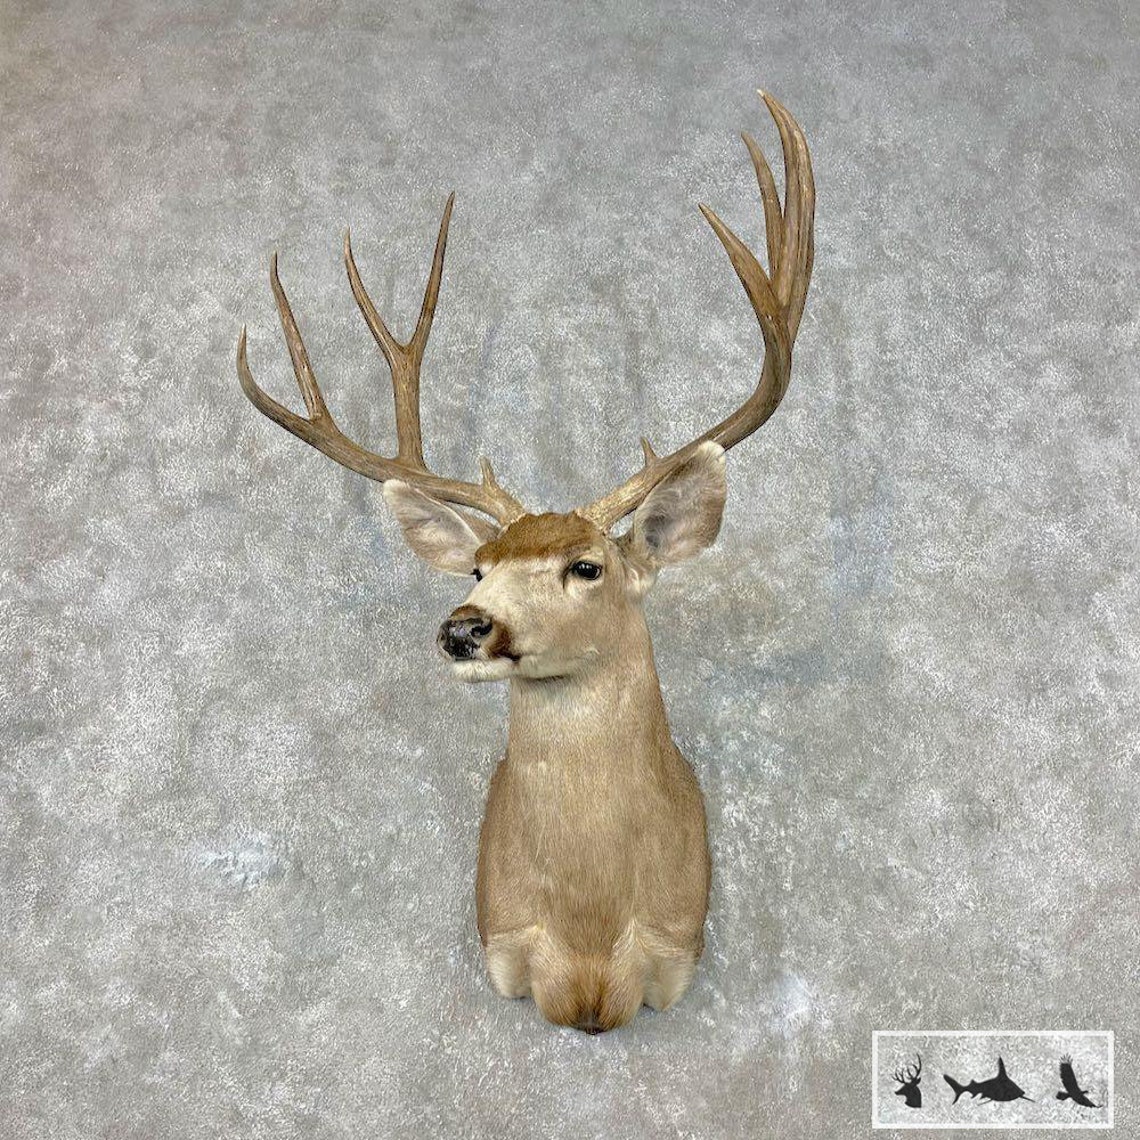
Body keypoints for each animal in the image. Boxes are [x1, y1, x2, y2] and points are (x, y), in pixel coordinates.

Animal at [236, 91, 814, 1033]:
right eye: (477, 566)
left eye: (587, 566)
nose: (465, 627)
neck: (588, 945)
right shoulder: (503, 940)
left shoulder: (676, 946)